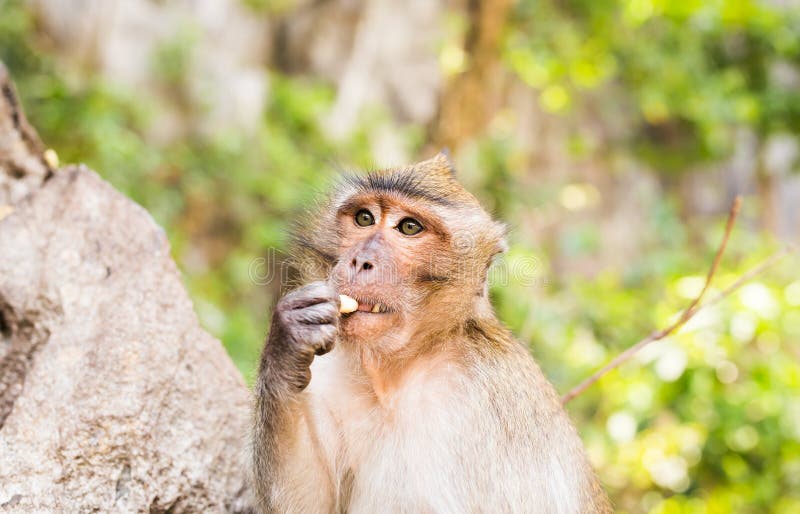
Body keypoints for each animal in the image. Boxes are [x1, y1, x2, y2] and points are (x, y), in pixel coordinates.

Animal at [252, 153, 612, 513]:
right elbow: (312, 504)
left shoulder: (492, 399)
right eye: (365, 218)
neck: (400, 372)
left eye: (409, 227)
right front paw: (288, 343)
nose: (360, 260)